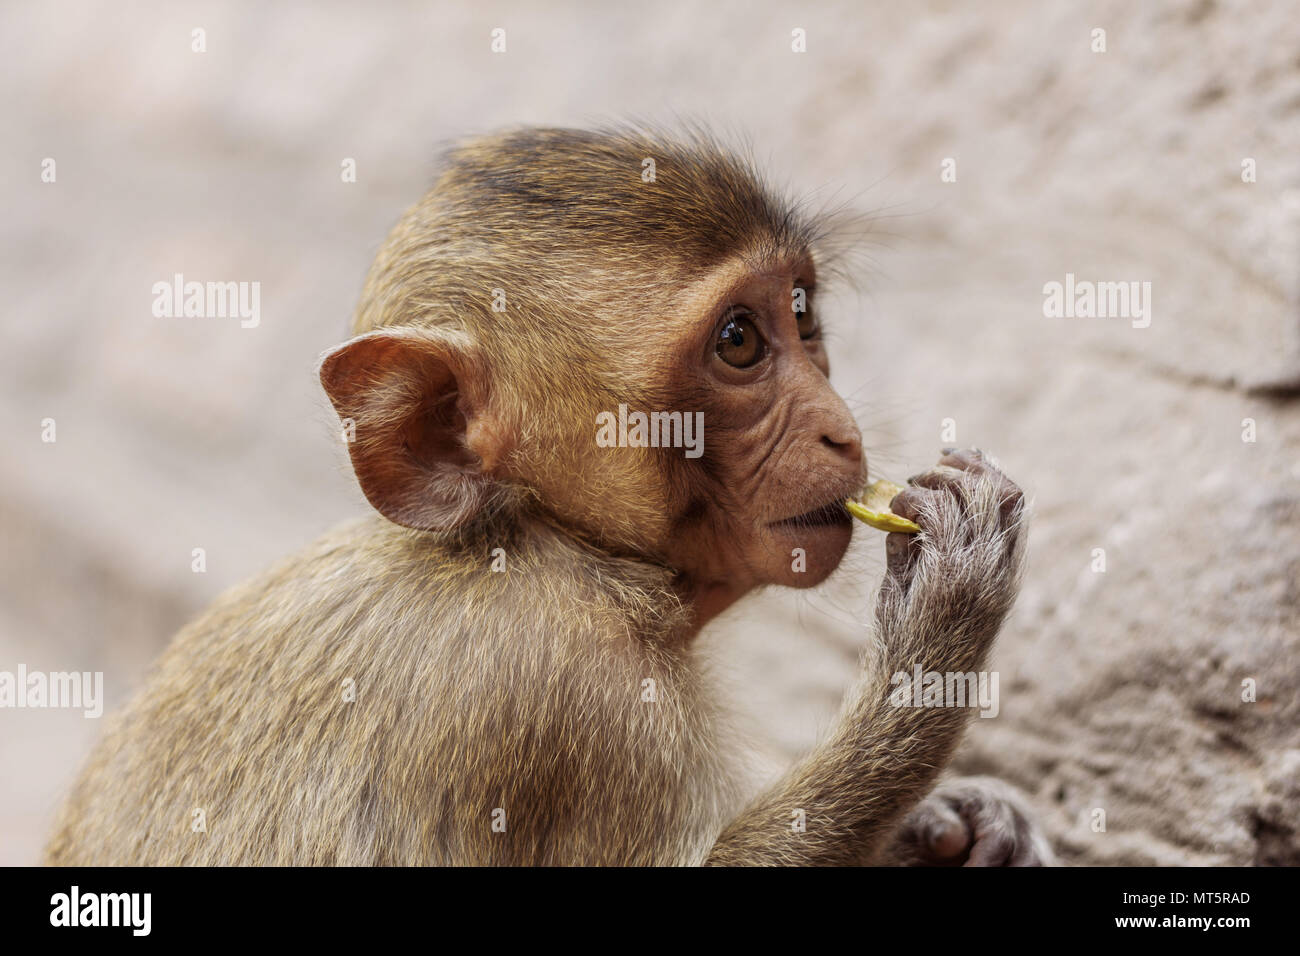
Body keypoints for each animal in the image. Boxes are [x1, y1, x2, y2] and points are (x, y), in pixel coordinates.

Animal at [45, 125, 1051, 866]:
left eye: (799, 313)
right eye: (738, 341)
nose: (839, 431)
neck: (536, 537)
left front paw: (954, 822)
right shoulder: (570, 693)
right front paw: (940, 629)